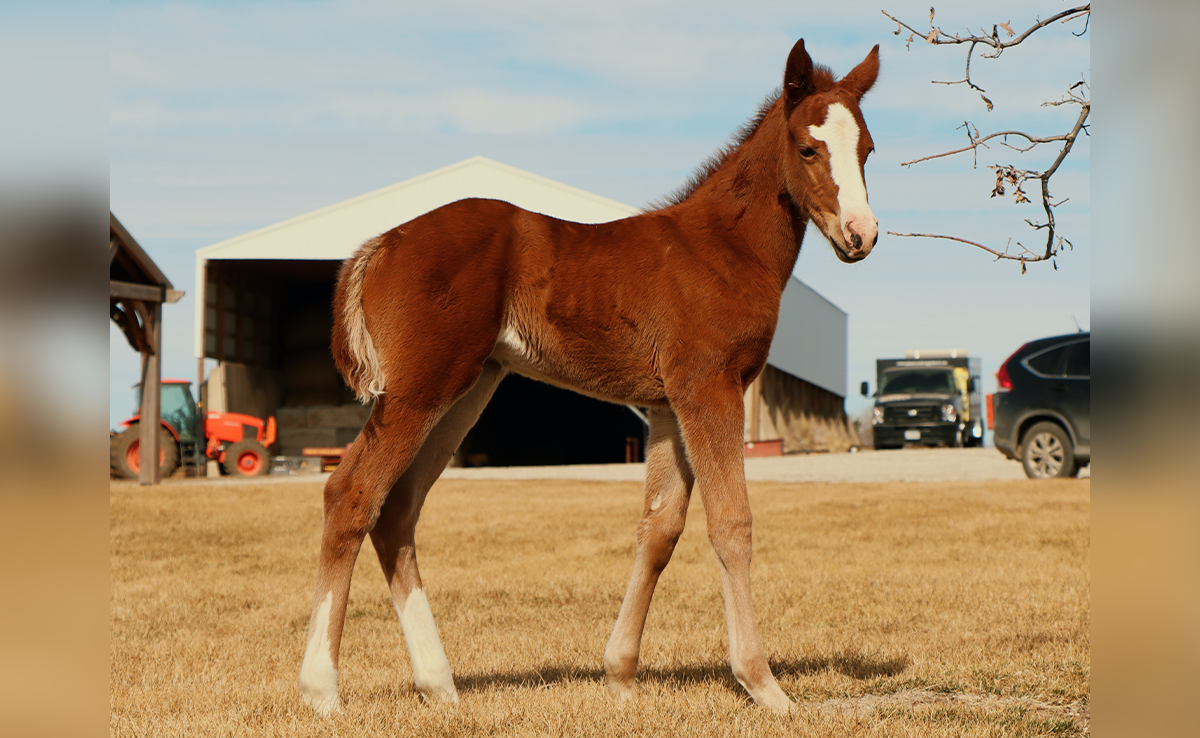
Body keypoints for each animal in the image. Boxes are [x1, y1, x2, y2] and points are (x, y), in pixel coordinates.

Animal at [298, 38, 879, 715]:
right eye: (809, 148)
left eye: (867, 150)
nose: (861, 235)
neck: (723, 246)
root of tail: (380, 244)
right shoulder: (709, 388)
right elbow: (731, 523)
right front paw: (763, 685)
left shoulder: (666, 405)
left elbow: (660, 528)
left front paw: (621, 675)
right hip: (420, 390)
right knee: (351, 495)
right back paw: (322, 688)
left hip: (466, 390)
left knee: (397, 511)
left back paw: (438, 684)